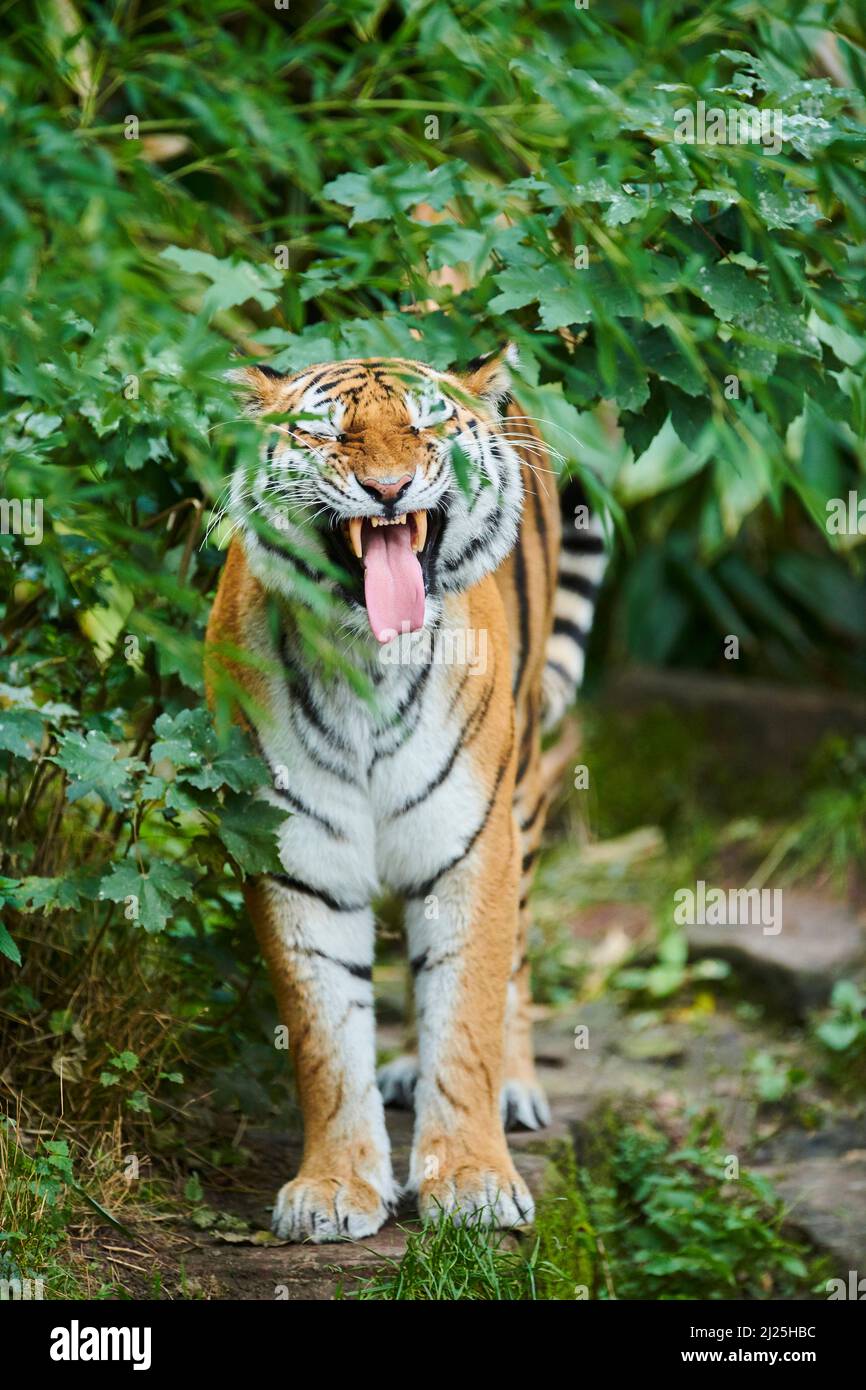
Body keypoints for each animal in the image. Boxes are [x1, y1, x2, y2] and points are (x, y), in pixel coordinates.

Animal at [205, 346, 606, 1242]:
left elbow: (465, 1016)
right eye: (330, 433)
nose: (388, 489)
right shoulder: (298, 858)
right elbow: (325, 1036)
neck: (367, 663)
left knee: (515, 960)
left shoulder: (471, 849)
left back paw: (515, 1088)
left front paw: (472, 1181)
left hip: (523, 790)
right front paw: (334, 1187)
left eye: (424, 427)